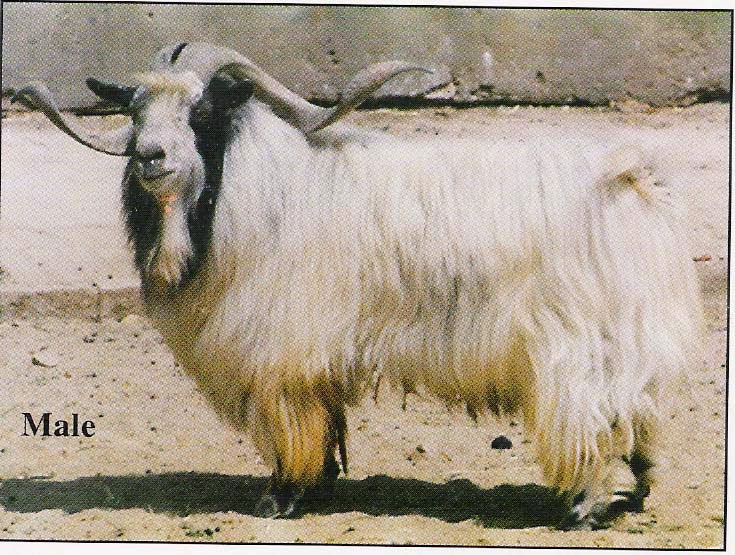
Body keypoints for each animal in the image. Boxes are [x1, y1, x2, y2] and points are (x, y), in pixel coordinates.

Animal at [14, 42, 702, 529]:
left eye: (202, 107)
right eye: (136, 110)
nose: (150, 156)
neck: (263, 190)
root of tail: (632, 181)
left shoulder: (282, 353)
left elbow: (293, 426)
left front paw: (280, 498)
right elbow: (326, 424)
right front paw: (318, 485)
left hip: (580, 348)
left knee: (596, 420)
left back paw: (585, 508)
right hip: (626, 342)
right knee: (638, 419)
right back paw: (636, 492)